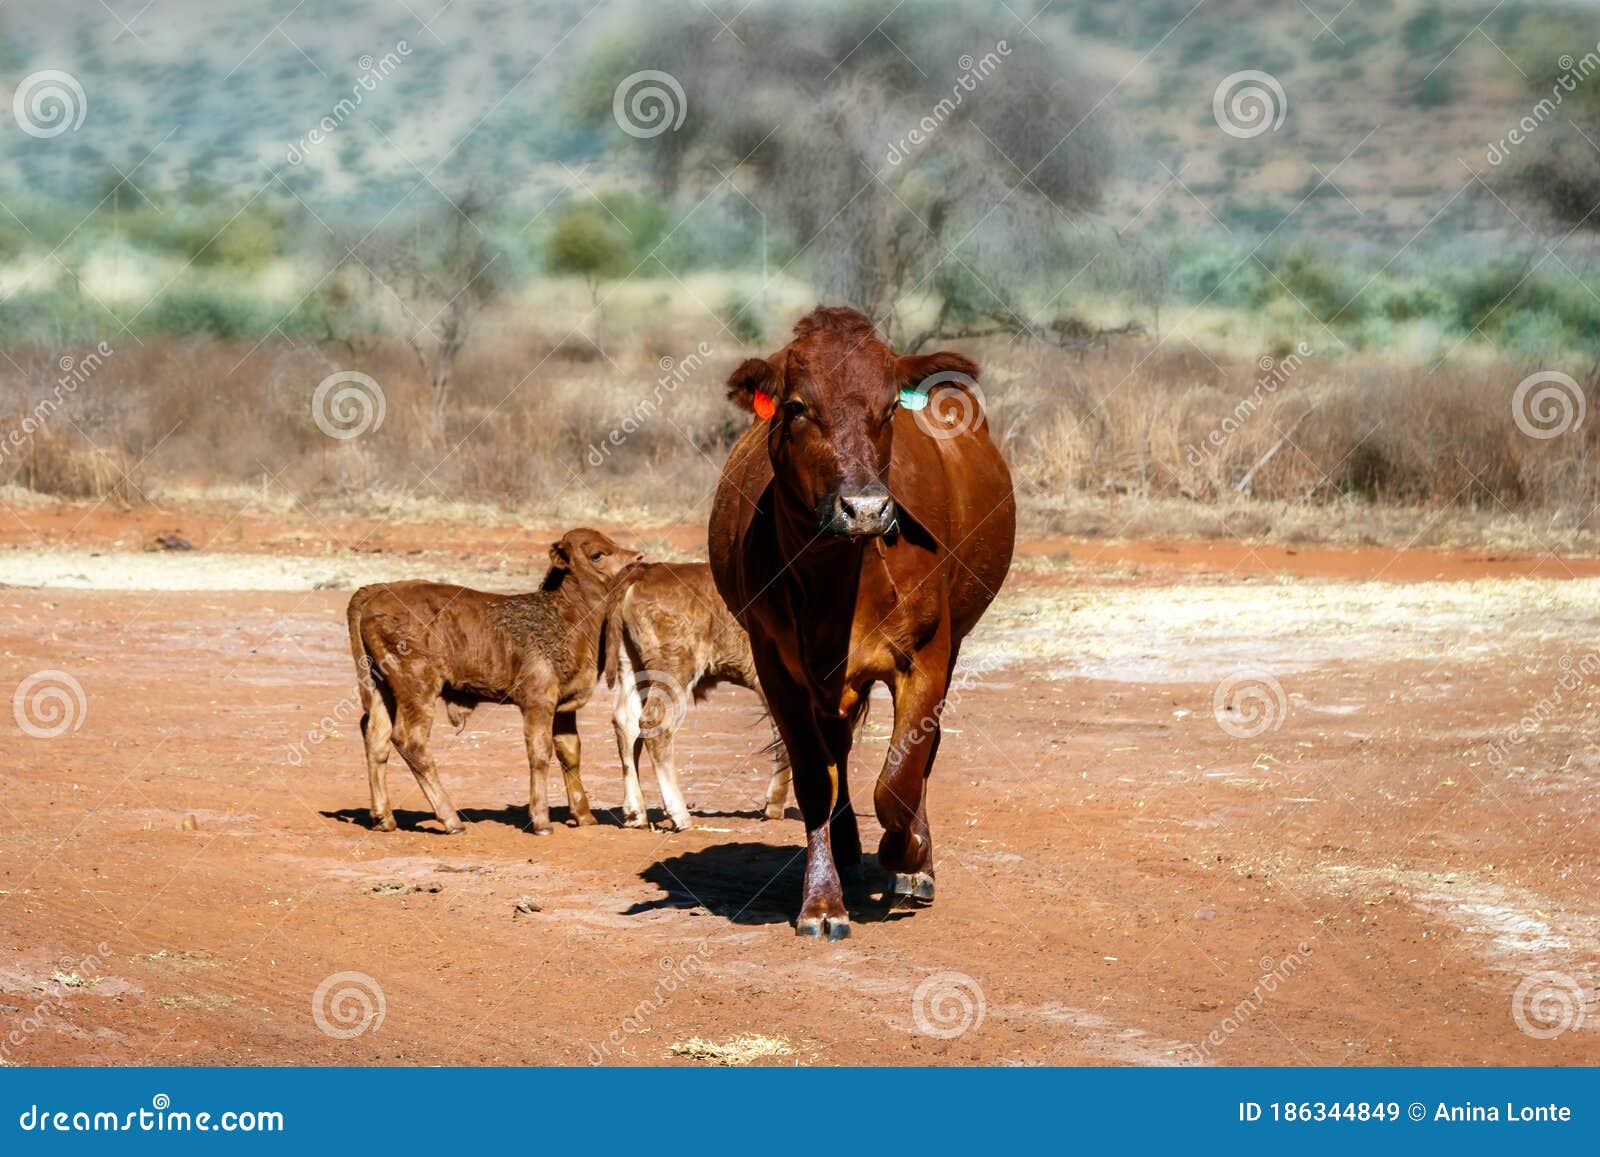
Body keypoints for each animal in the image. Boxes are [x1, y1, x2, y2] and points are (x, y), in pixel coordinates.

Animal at [346, 528, 640, 835]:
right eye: (597, 554)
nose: (637, 558)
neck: (562, 615)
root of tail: (376, 591)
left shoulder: (564, 706)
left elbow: (570, 752)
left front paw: (584, 817)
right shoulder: (538, 702)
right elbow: (539, 752)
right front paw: (541, 821)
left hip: (382, 691)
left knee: (375, 736)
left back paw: (384, 819)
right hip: (417, 690)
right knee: (410, 741)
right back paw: (451, 820)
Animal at [601, 560, 790, 831]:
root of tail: (647, 569)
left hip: (632, 667)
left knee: (626, 724)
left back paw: (636, 814)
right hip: (674, 671)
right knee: (655, 725)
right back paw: (679, 815)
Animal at [707, 306, 1015, 939]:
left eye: (890, 407)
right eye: (798, 406)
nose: (866, 509)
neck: (836, 580)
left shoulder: (926, 656)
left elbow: (898, 780)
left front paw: (910, 857)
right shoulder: (777, 668)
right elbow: (815, 780)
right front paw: (822, 901)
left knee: (917, 757)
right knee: (839, 756)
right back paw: (848, 853)